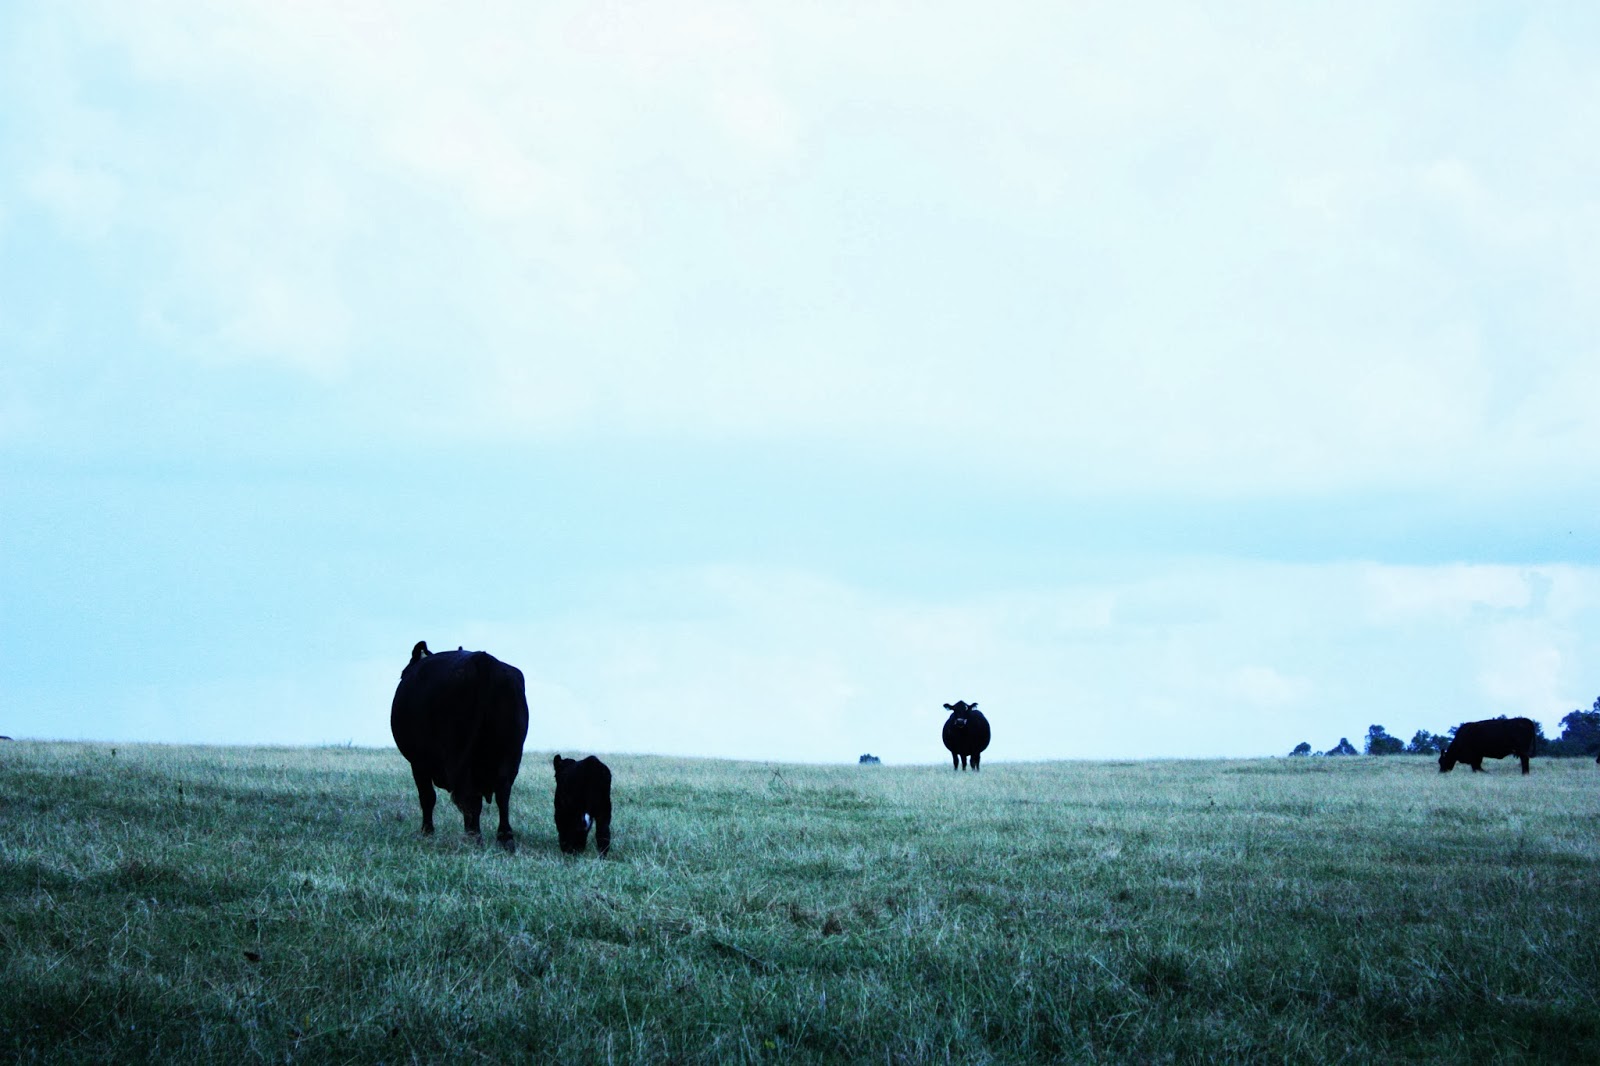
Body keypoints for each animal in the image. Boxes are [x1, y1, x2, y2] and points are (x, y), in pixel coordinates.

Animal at [391, 640, 530, 851]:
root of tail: (482, 660)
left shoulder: (418, 762)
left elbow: (427, 796)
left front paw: (427, 832)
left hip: (457, 753)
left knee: (469, 796)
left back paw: (474, 838)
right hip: (510, 753)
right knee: (502, 792)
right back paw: (504, 838)